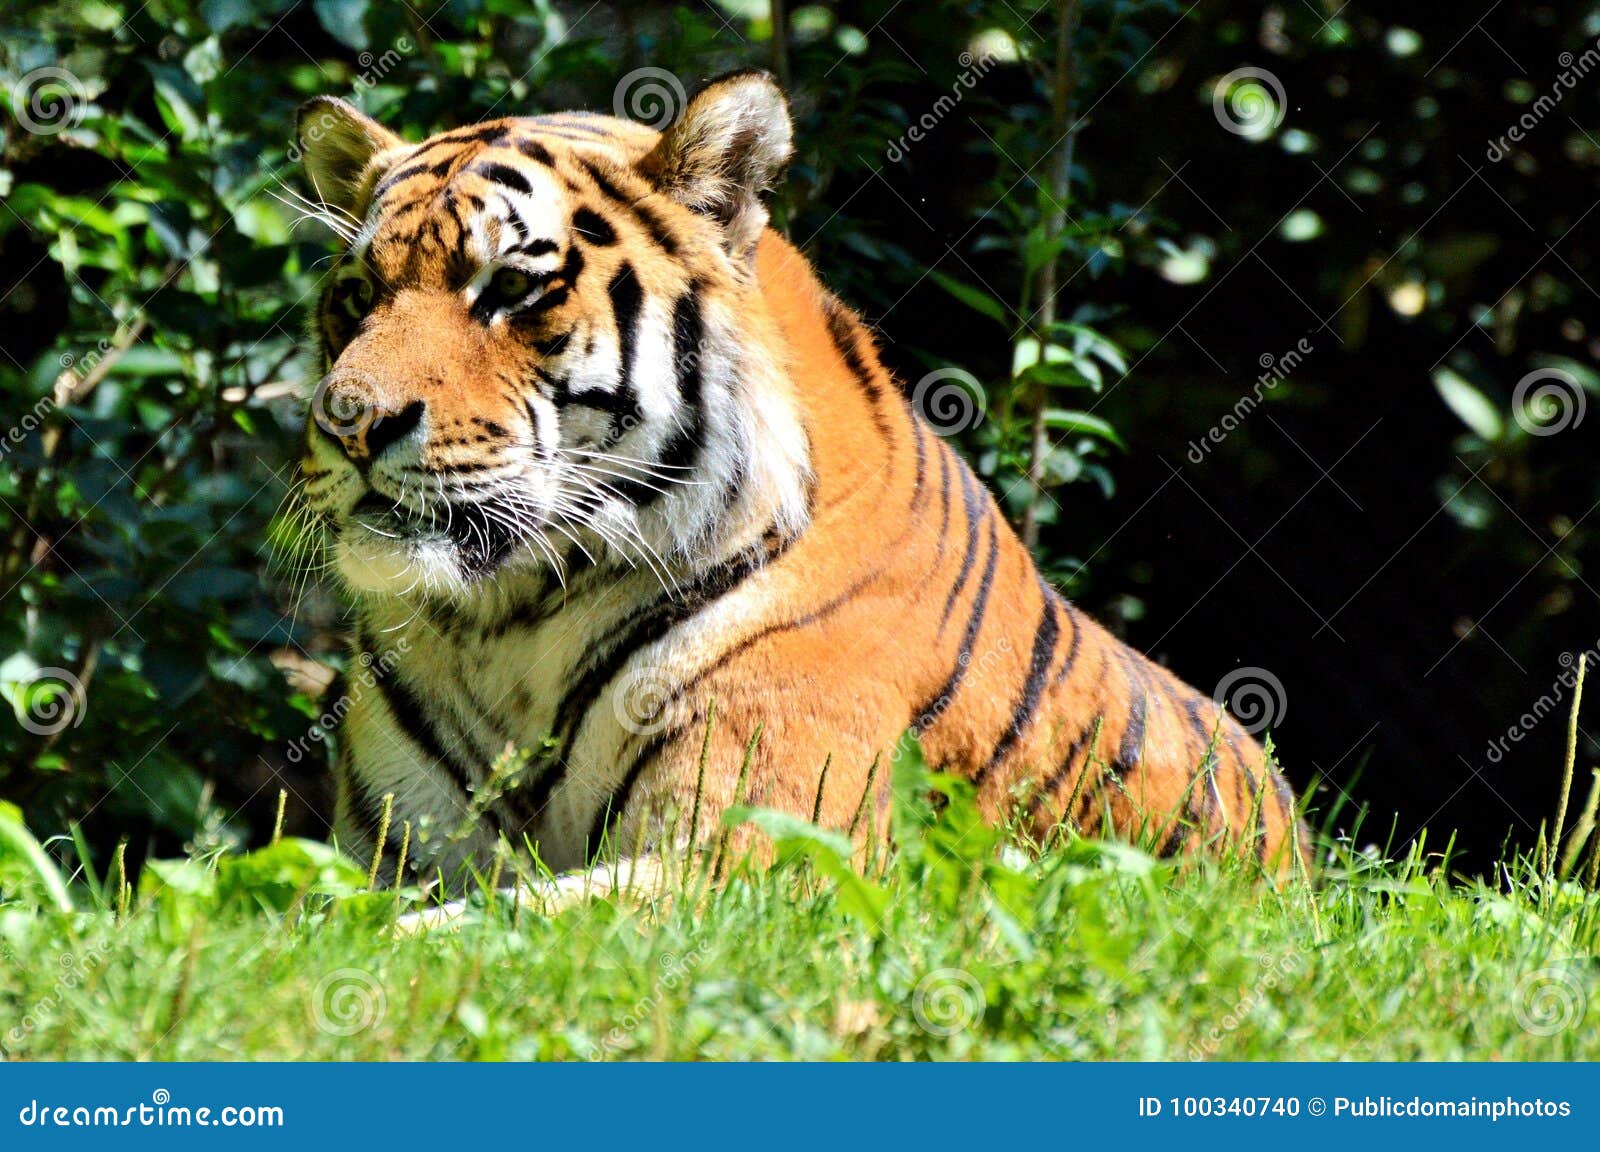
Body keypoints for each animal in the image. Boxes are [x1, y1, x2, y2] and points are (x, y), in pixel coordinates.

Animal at [288, 70, 1308, 887]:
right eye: (358, 296)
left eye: (509, 289)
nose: (348, 421)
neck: (509, 632)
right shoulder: (388, 857)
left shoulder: (754, 859)